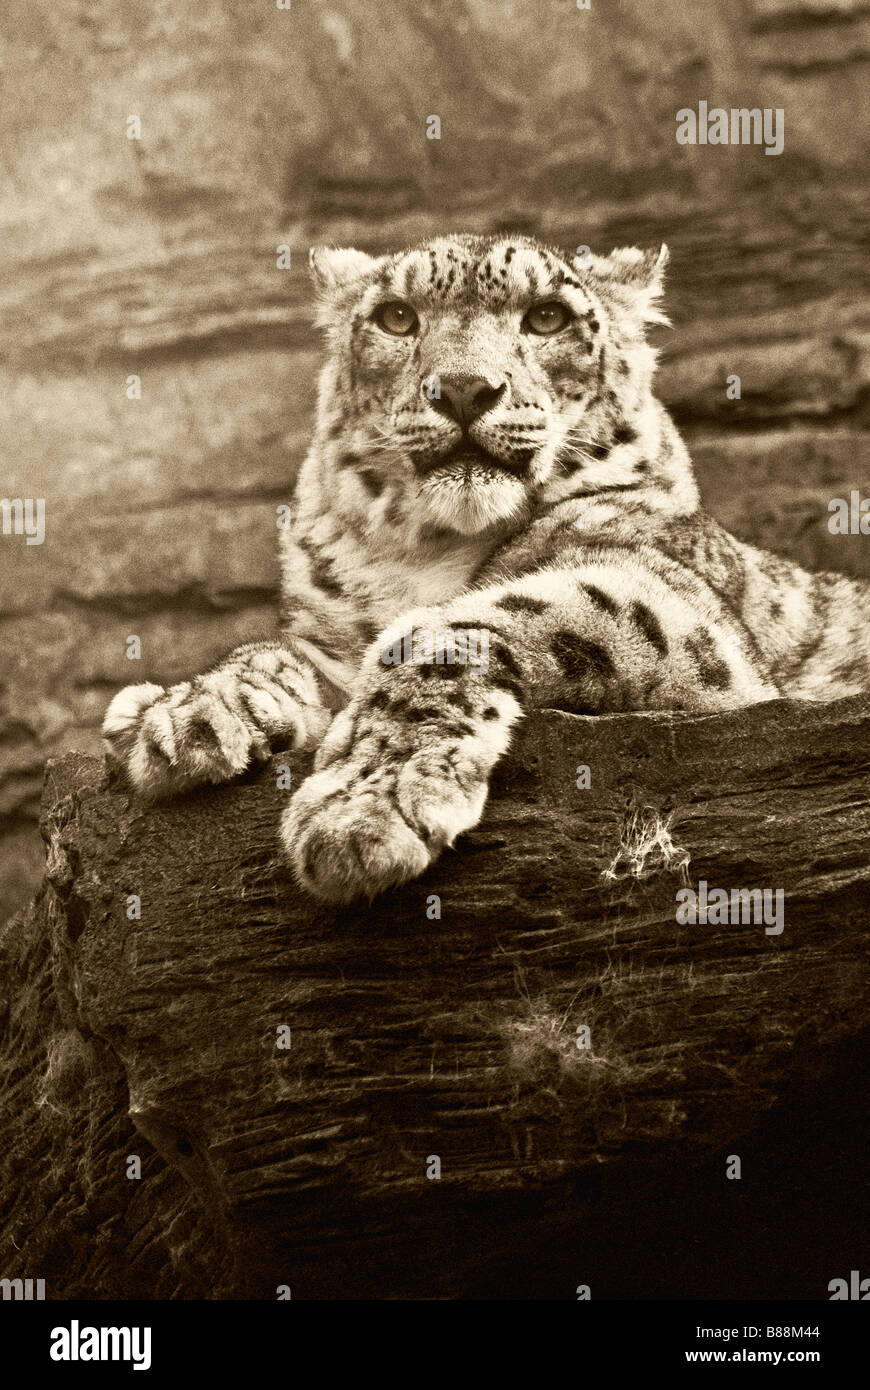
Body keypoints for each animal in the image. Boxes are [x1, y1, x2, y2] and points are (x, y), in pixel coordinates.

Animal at [103, 233, 870, 904]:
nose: (465, 388)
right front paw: (186, 713)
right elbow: (278, 654)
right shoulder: (333, 643)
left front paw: (365, 807)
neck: (429, 553)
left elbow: (459, 628)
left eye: (547, 316)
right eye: (397, 316)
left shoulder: (682, 617)